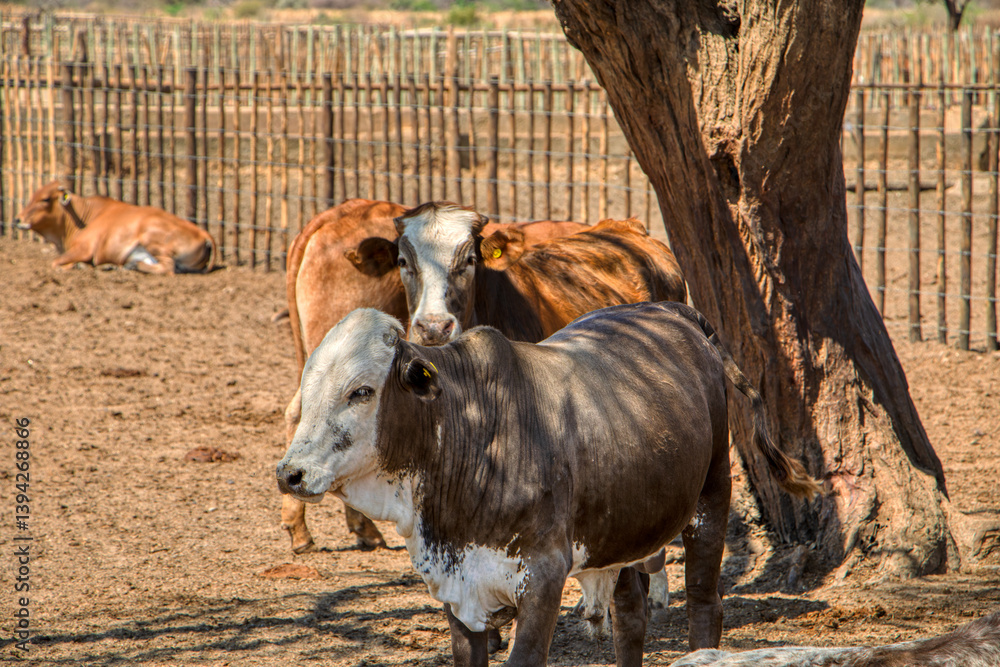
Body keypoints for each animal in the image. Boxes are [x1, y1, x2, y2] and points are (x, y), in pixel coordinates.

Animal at [14, 182, 216, 274]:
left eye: (45, 199)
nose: (18, 219)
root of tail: (202, 232)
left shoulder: (84, 249)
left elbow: (55, 263)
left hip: (152, 238)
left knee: (168, 268)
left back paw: (132, 266)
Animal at [276, 303, 819, 665]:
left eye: (361, 391)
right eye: (307, 386)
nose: (289, 473)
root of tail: (672, 310)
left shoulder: (542, 577)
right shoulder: (458, 589)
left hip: (711, 497)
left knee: (705, 606)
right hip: (621, 531)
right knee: (630, 617)